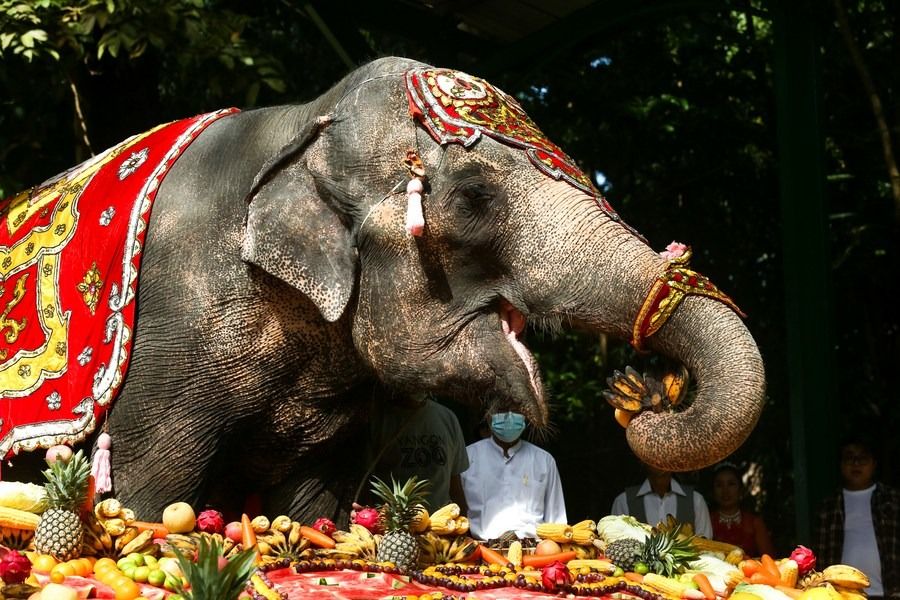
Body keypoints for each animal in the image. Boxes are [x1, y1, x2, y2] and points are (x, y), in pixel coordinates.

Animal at [9, 56, 765, 522]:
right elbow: (145, 494)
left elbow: (312, 510)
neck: (299, 121)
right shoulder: (167, 343)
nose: (643, 397)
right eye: (473, 197)